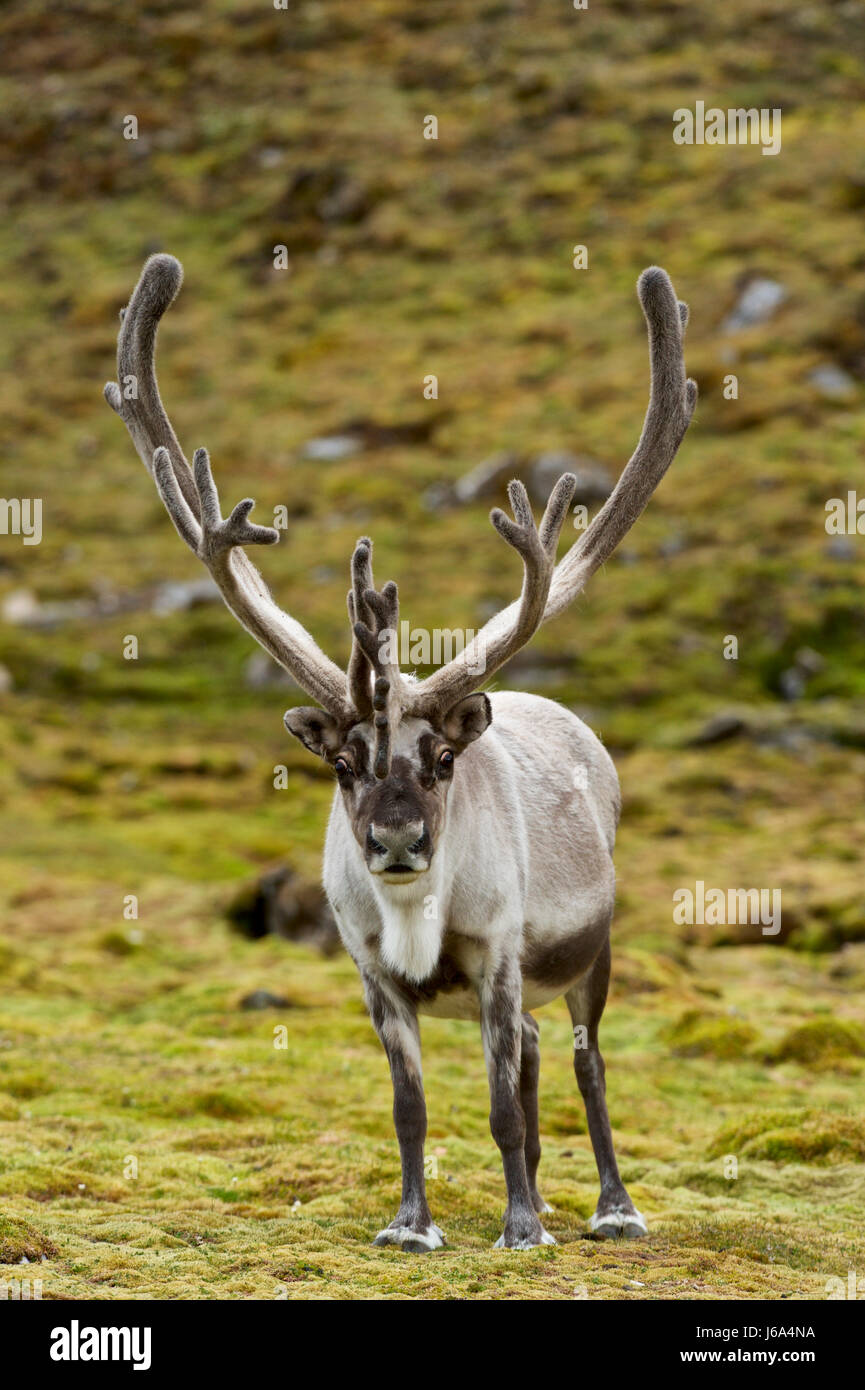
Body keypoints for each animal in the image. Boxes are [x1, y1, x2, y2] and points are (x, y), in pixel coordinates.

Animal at [105, 255, 696, 1251]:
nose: (395, 843)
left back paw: (609, 1208)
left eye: (443, 762)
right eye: (342, 765)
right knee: (536, 1057)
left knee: (584, 1063)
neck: (420, 914)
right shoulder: (371, 972)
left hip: (591, 951)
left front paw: (518, 1230)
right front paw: (413, 1225)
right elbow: (410, 1109)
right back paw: (543, 1195)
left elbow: (499, 1108)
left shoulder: (497, 954)